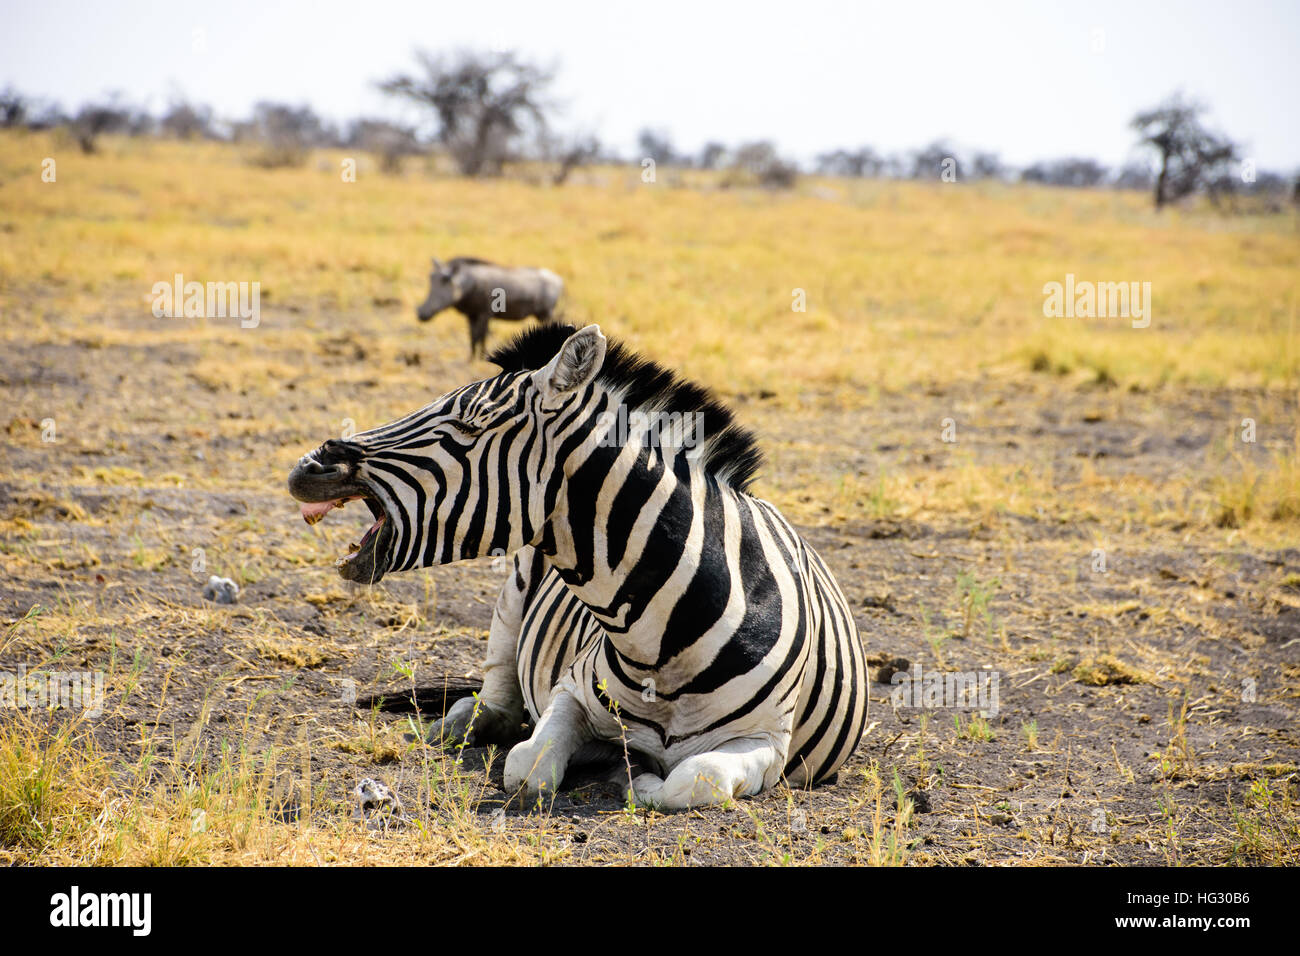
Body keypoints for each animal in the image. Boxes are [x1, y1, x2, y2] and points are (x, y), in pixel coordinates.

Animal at [288, 323, 868, 809]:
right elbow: (527, 765)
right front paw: (615, 763)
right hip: (515, 589)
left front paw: (637, 776)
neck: (663, 647)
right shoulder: (570, 693)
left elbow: (690, 780)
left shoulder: (767, 743)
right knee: (498, 694)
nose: (307, 465)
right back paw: (465, 720)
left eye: (468, 424)